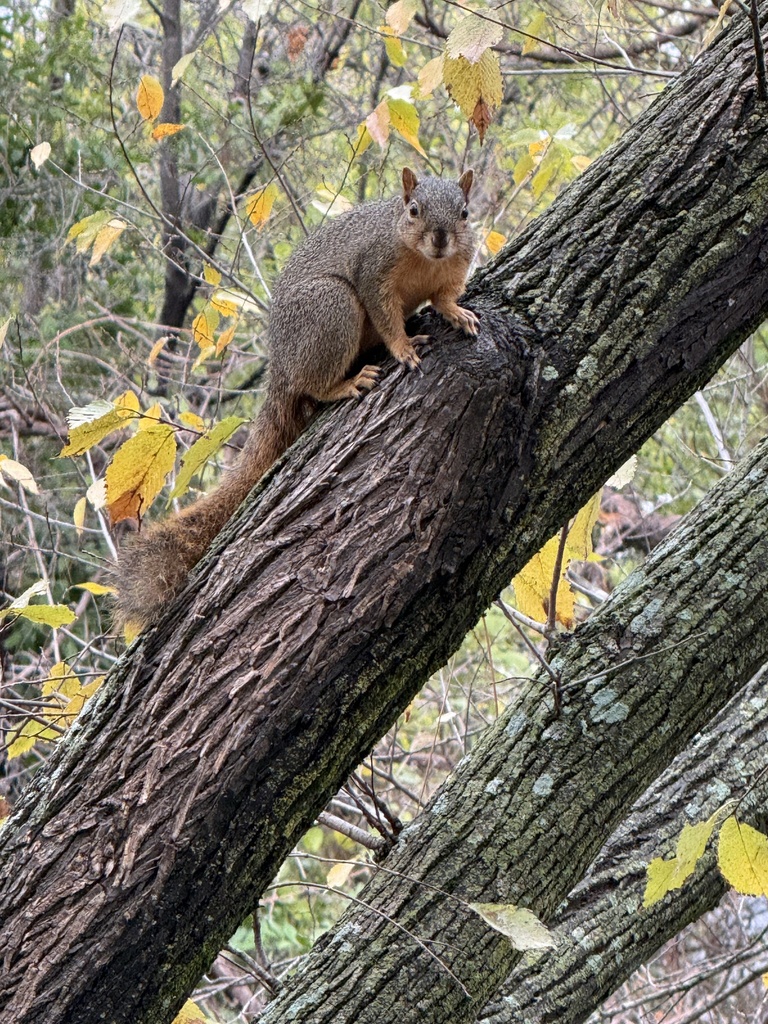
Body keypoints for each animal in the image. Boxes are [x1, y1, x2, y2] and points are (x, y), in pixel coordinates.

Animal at [114, 167, 478, 631]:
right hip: (331, 308)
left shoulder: (454, 267)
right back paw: (344, 384)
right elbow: (385, 315)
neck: (425, 259)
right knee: (314, 381)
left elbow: (446, 296)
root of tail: (280, 367)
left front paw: (457, 313)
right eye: (413, 209)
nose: (440, 238)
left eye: (464, 213)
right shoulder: (373, 270)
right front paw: (402, 348)